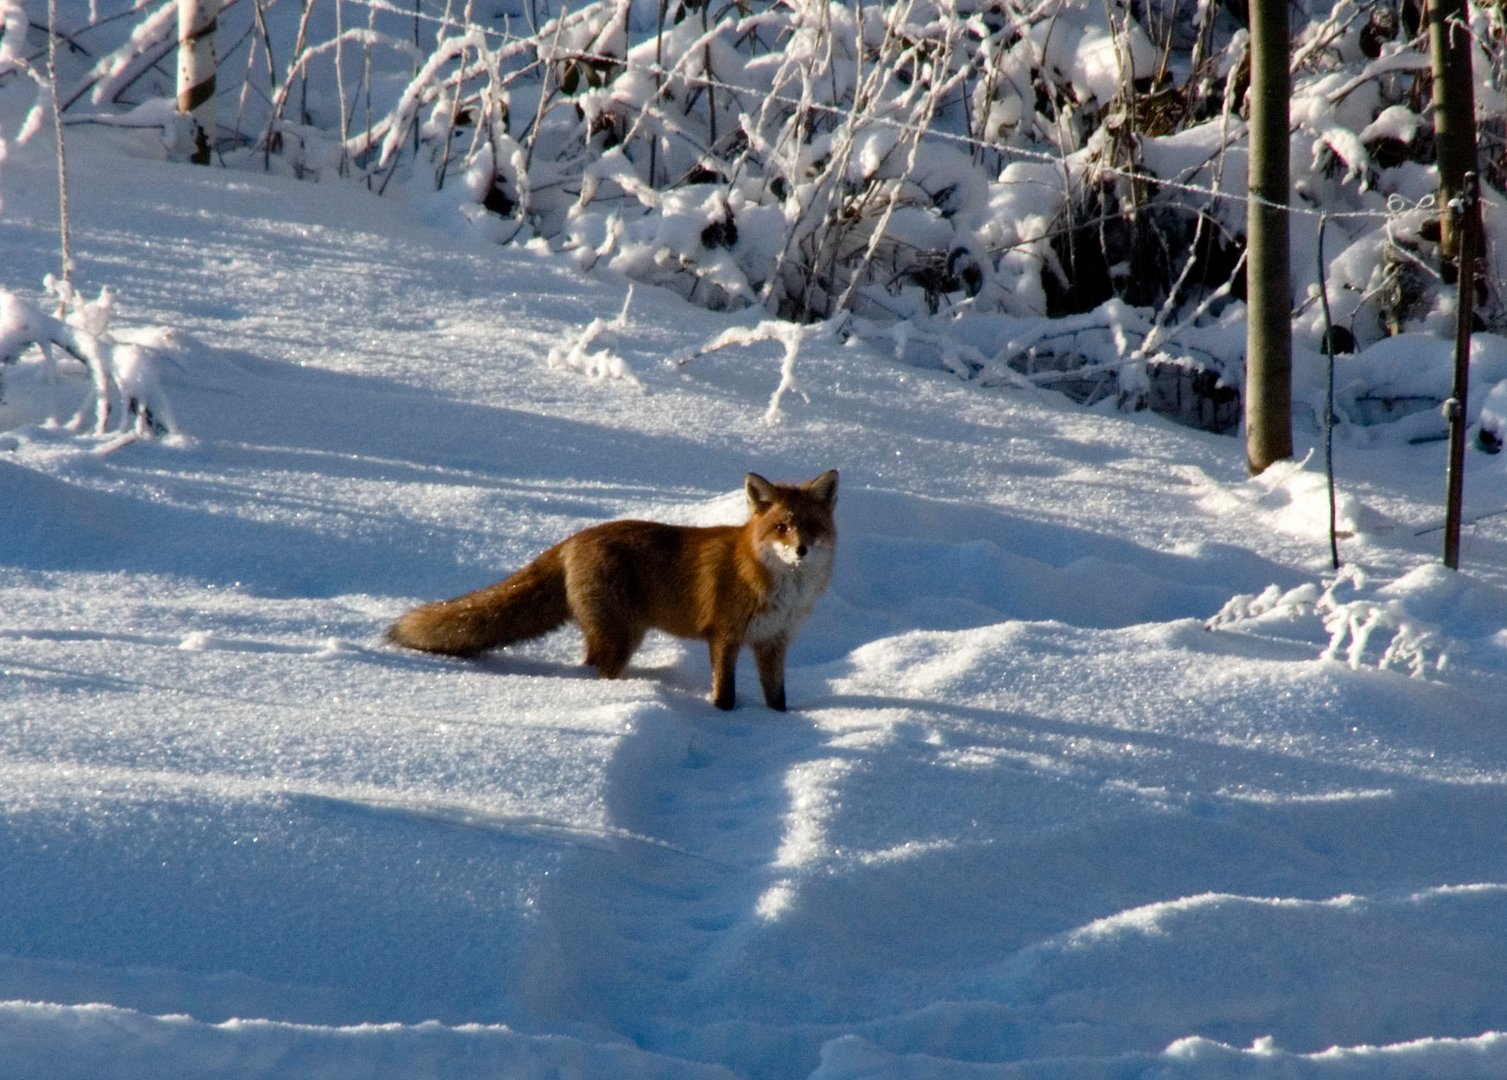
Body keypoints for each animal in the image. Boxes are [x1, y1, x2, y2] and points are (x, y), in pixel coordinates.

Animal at [386, 470, 838, 711]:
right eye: (782, 526)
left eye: (811, 527)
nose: (801, 549)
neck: (782, 589)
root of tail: (572, 539)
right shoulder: (724, 636)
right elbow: (723, 693)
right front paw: (725, 720)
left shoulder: (773, 642)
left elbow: (777, 698)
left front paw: (777, 724)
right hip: (620, 637)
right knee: (593, 671)